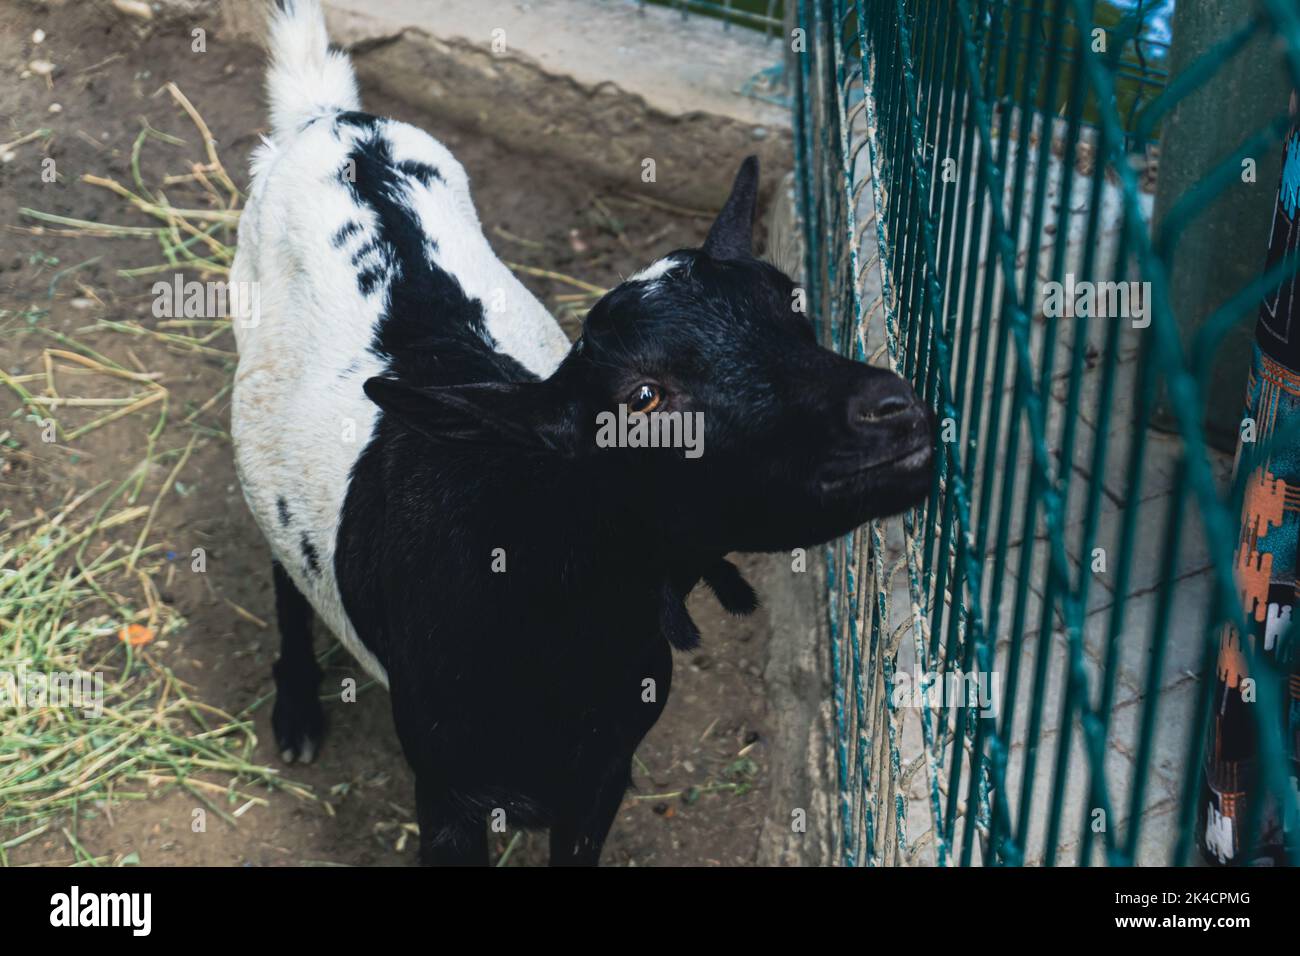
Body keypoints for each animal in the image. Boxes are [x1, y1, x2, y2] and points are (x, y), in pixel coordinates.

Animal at [231, 0, 934, 865]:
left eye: (791, 302)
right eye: (642, 398)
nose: (893, 407)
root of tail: (331, 118)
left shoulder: (603, 774)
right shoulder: (447, 793)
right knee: (281, 562)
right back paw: (296, 710)